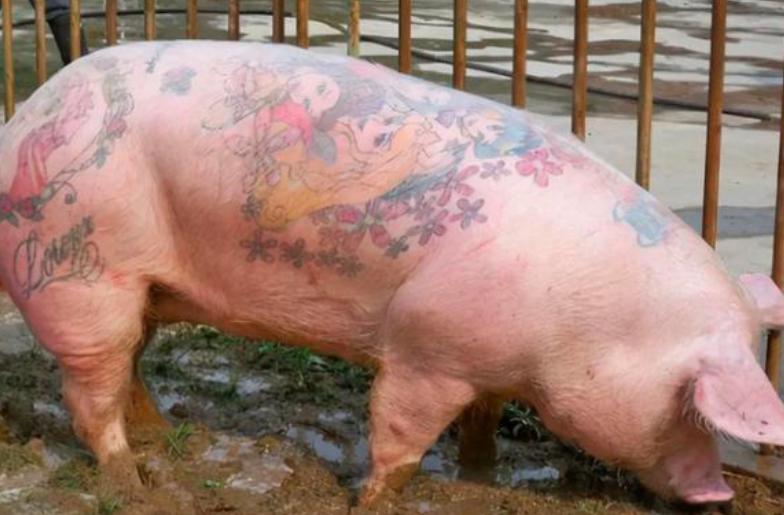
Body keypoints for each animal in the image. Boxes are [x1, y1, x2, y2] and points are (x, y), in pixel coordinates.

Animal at [0, 39, 783, 506]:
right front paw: (371, 501)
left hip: (143, 288)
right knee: (89, 391)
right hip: (82, 273)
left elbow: (482, 422)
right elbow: (398, 434)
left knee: (130, 365)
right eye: (693, 405)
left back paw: (160, 437)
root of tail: (25, 119)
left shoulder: (485, 357)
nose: (721, 494)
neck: (590, 318)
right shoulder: (425, 345)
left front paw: (478, 479)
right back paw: (133, 479)